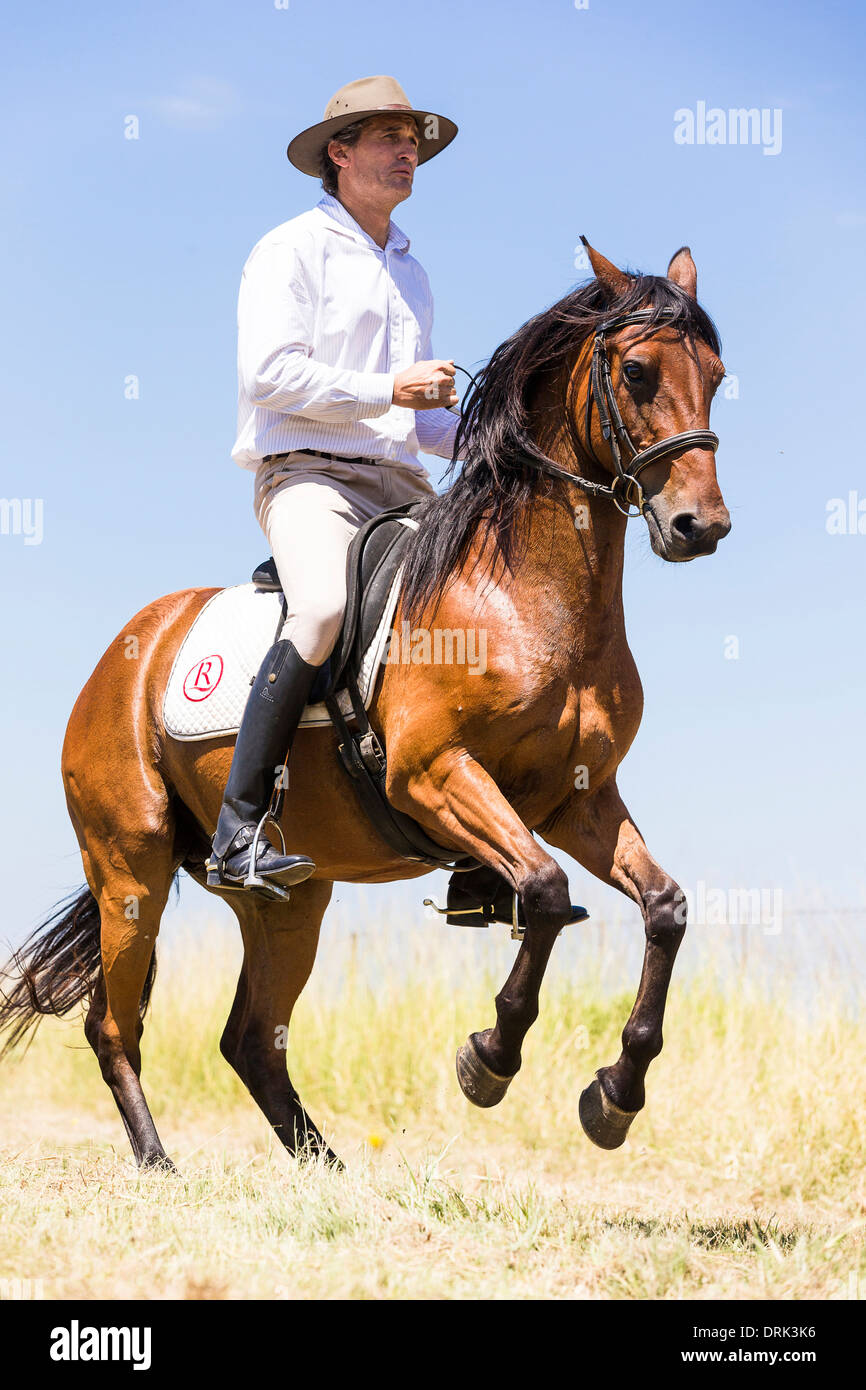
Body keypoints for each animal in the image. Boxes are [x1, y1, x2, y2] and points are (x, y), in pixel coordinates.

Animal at [0, 241, 730, 1170]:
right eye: (637, 371)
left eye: (717, 376)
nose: (701, 526)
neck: (526, 597)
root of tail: (124, 655)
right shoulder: (432, 776)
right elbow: (541, 890)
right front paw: (489, 1059)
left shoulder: (576, 800)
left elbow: (664, 909)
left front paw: (616, 1095)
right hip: (131, 871)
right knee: (113, 1026)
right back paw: (160, 1162)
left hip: (289, 901)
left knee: (251, 1038)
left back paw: (331, 1173)